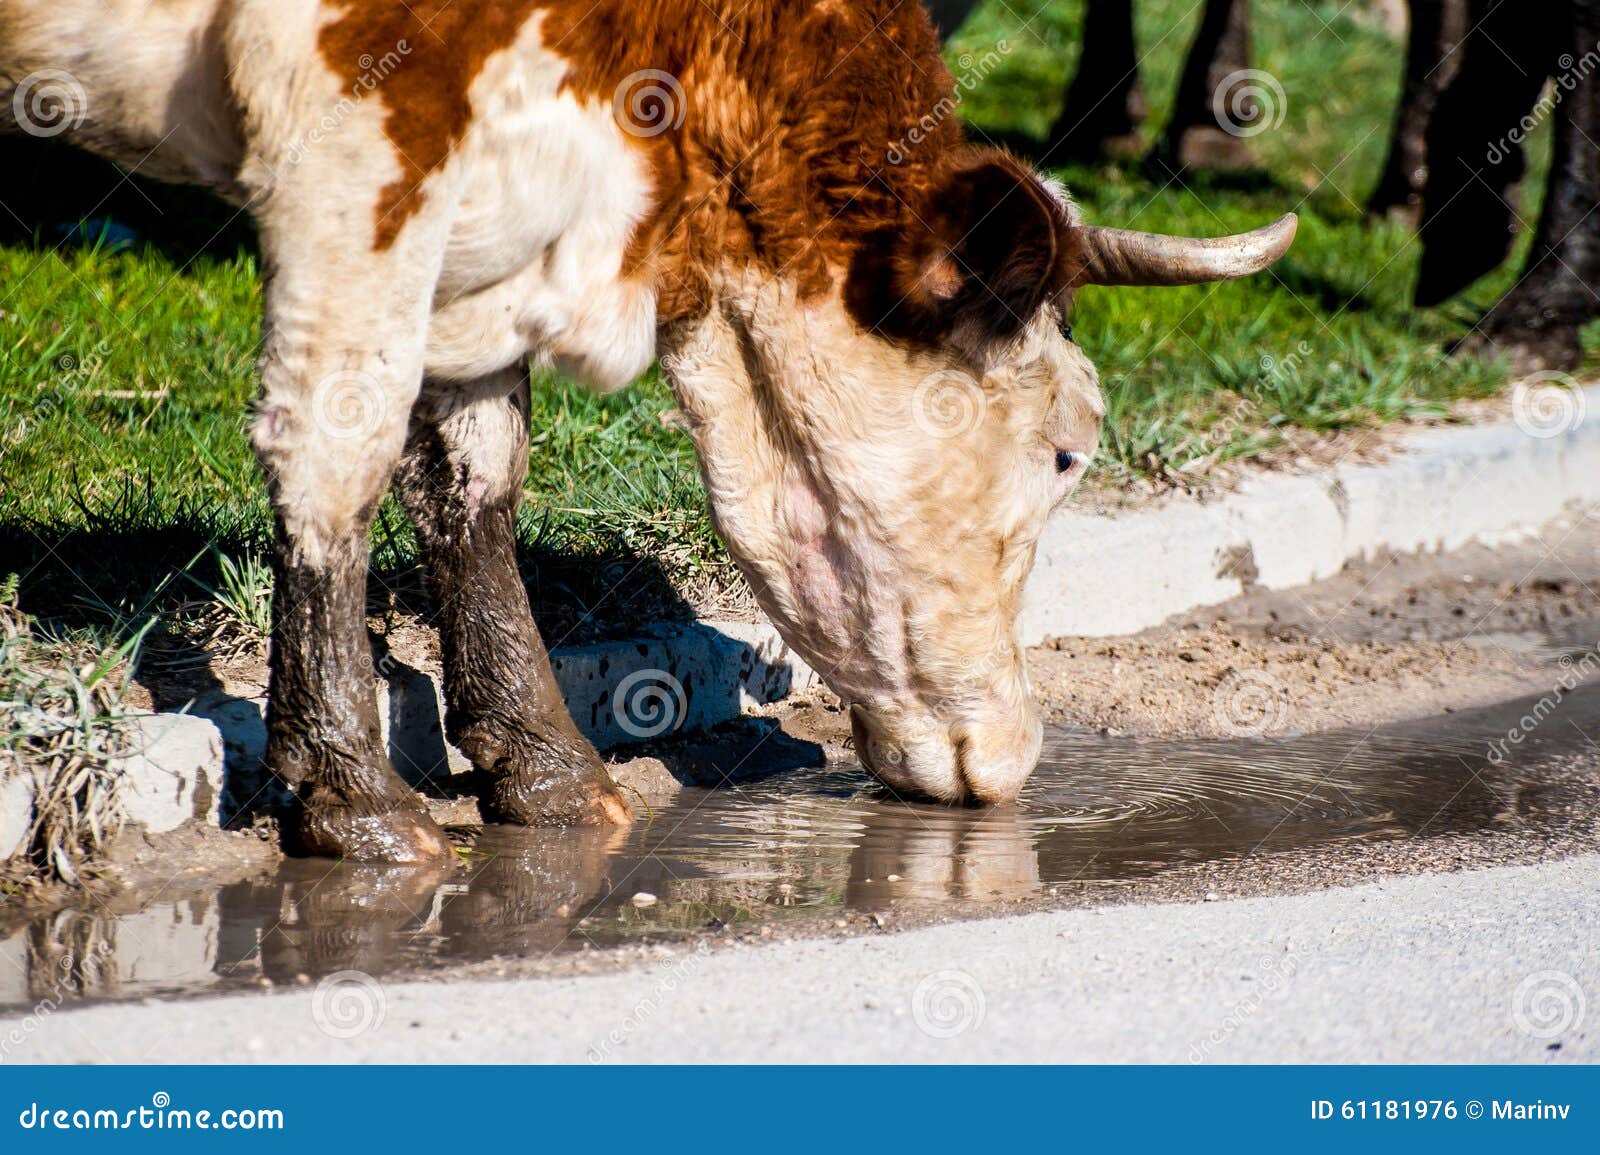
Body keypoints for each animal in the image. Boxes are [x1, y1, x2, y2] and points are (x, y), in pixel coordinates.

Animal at [0, 0, 1295, 863]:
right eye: (1067, 447)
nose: (1021, 751)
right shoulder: (364, 125)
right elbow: (337, 445)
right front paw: (350, 792)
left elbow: (471, 469)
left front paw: (542, 763)